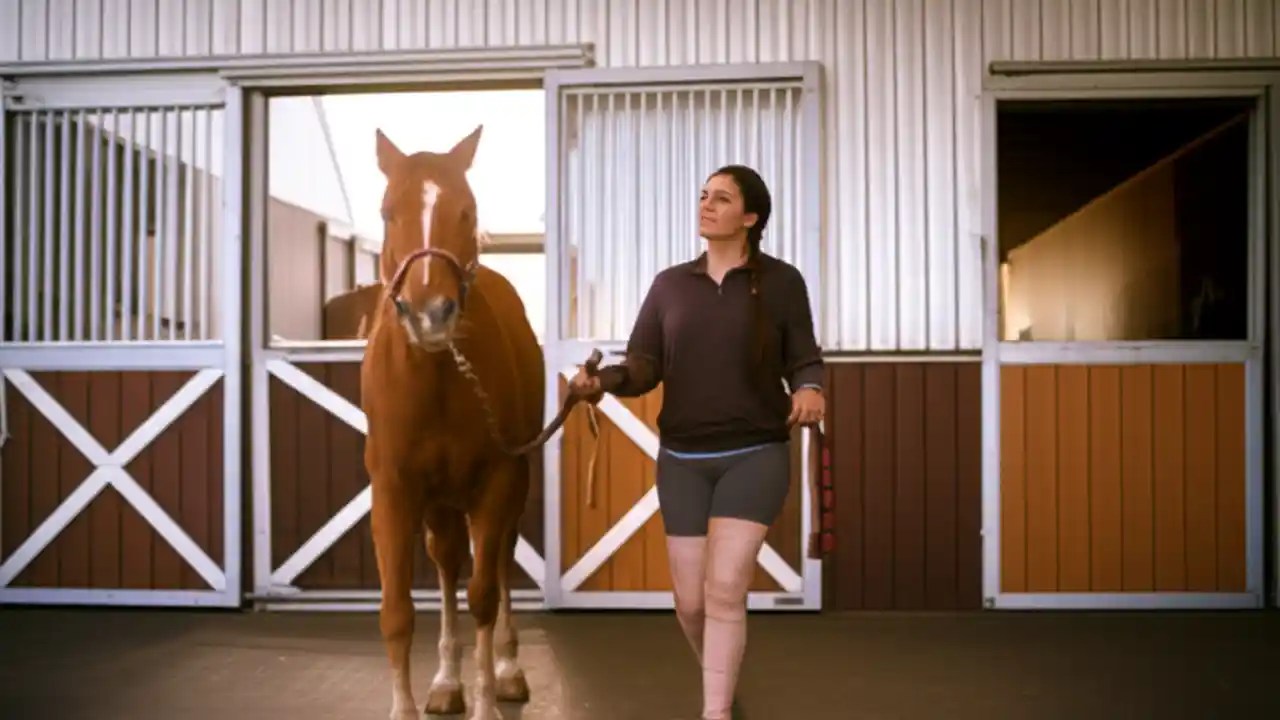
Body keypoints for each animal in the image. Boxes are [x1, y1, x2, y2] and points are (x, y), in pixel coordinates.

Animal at [361, 125, 543, 720]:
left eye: (467, 211)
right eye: (387, 211)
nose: (430, 315)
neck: (439, 376)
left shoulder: (496, 482)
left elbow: (483, 594)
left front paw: (488, 699)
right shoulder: (393, 492)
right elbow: (397, 611)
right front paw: (410, 706)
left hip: (512, 489)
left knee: (500, 562)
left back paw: (507, 671)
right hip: (439, 503)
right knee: (446, 564)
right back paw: (445, 681)